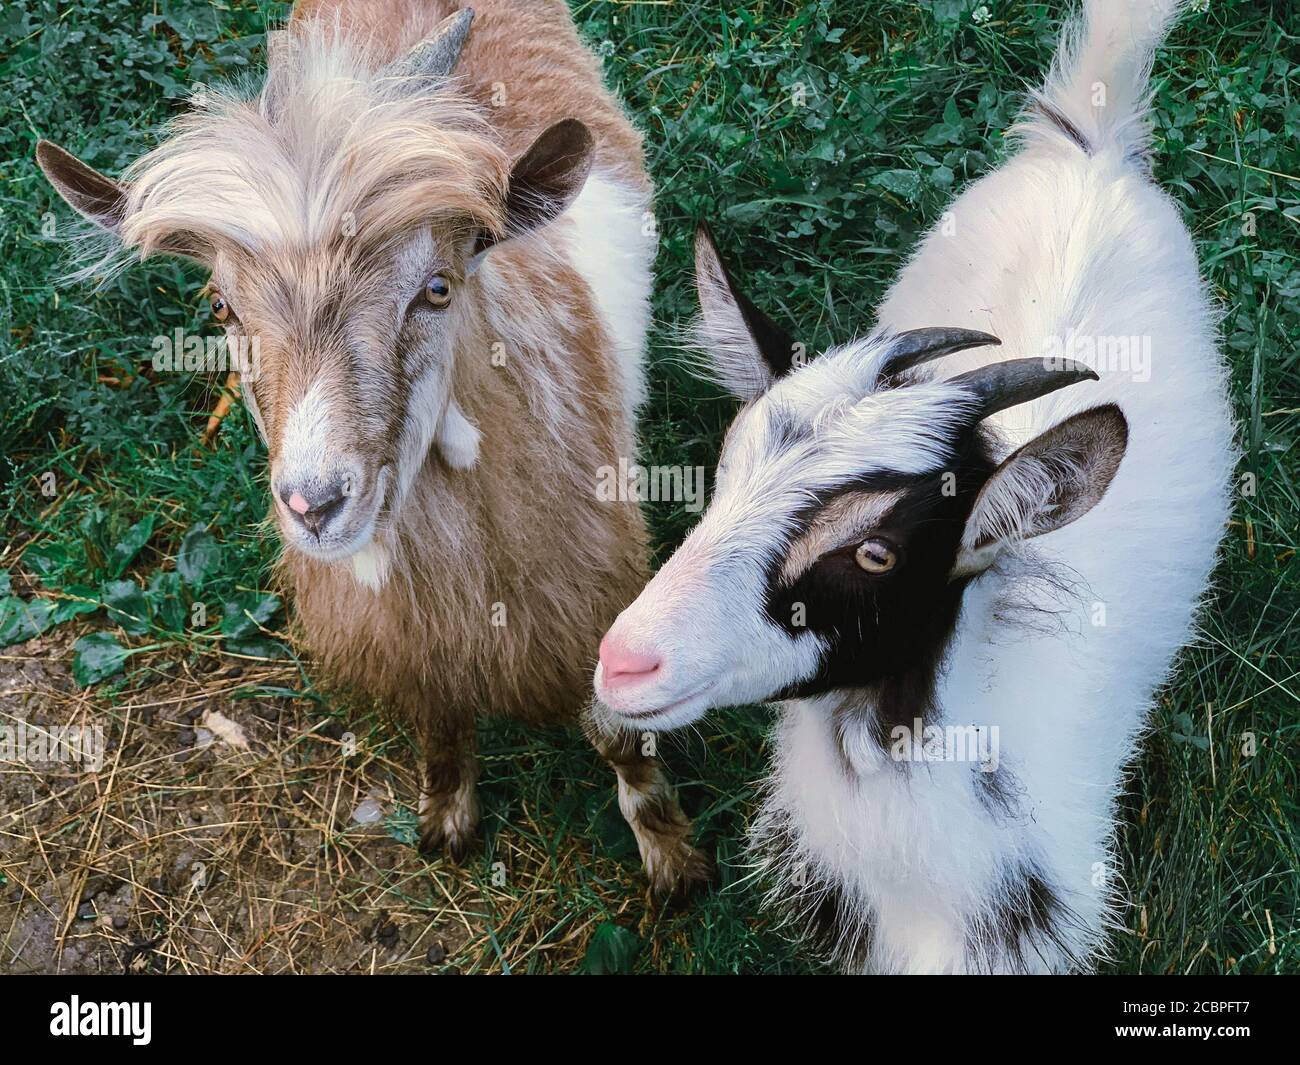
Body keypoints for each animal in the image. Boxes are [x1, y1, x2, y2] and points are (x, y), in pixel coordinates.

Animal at [37, 0, 711, 895]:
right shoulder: (407, 639)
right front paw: (445, 818)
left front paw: (673, 863)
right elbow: (438, 719)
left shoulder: (601, 596)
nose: (316, 502)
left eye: (438, 287)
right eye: (220, 307)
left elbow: (616, 732)